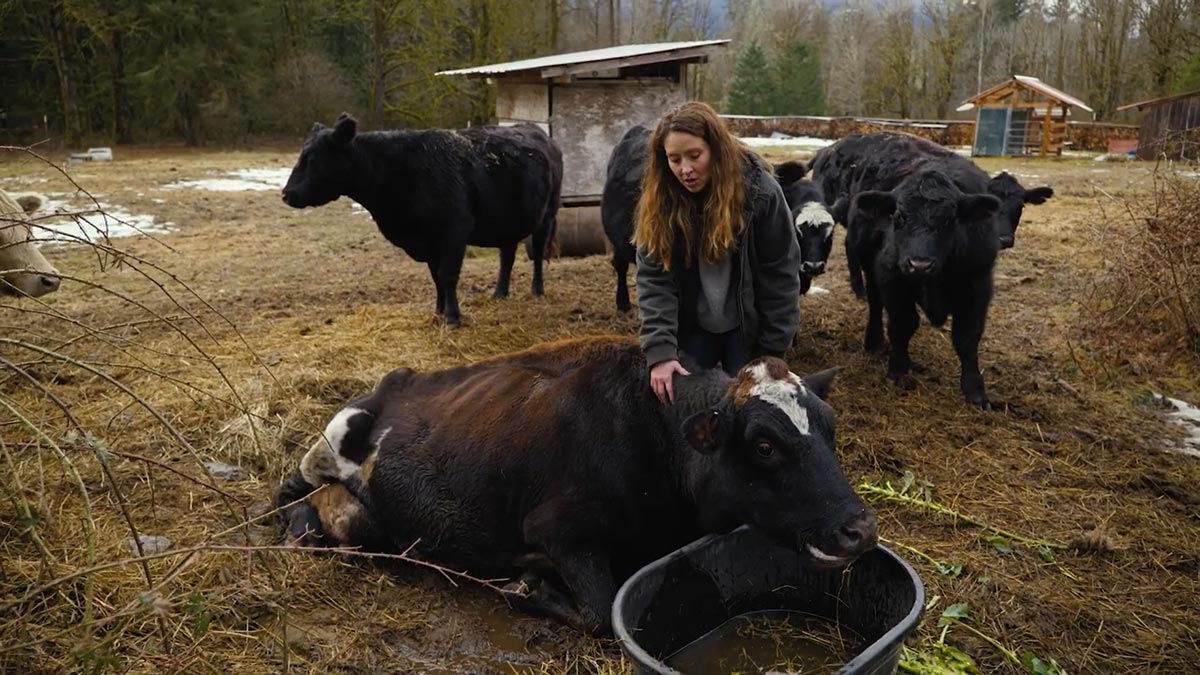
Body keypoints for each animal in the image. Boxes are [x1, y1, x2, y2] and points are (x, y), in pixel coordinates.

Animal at [274, 336, 878, 635]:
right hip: (329, 439)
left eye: (831, 426)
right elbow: (602, 614)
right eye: (764, 445)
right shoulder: (558, 530)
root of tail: (395, 380)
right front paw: (529, 586)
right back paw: (298, 531)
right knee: (286, 493)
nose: (861, 528)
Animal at [281, 113, 563, 327]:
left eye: (312, 158)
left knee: (538, 254)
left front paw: (452, 317)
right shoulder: (427, 241)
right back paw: (499, 293)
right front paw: (438, 311)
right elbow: (435, 276)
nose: (286, 193)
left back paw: (537, 291)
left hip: (547, 215)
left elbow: (448, 275)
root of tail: (535, 130)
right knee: (507, 256)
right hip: (507, 220)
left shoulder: (454, 231)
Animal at [847, 168, 1001, 408]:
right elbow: (903, 325)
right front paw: (899, 370)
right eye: (899, 217)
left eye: (949, 220)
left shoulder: (978, 285)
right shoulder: (891, 278)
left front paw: (975, 390)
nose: (919, 264)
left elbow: (967, 338)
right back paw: (874, 341)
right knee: (875, 303)